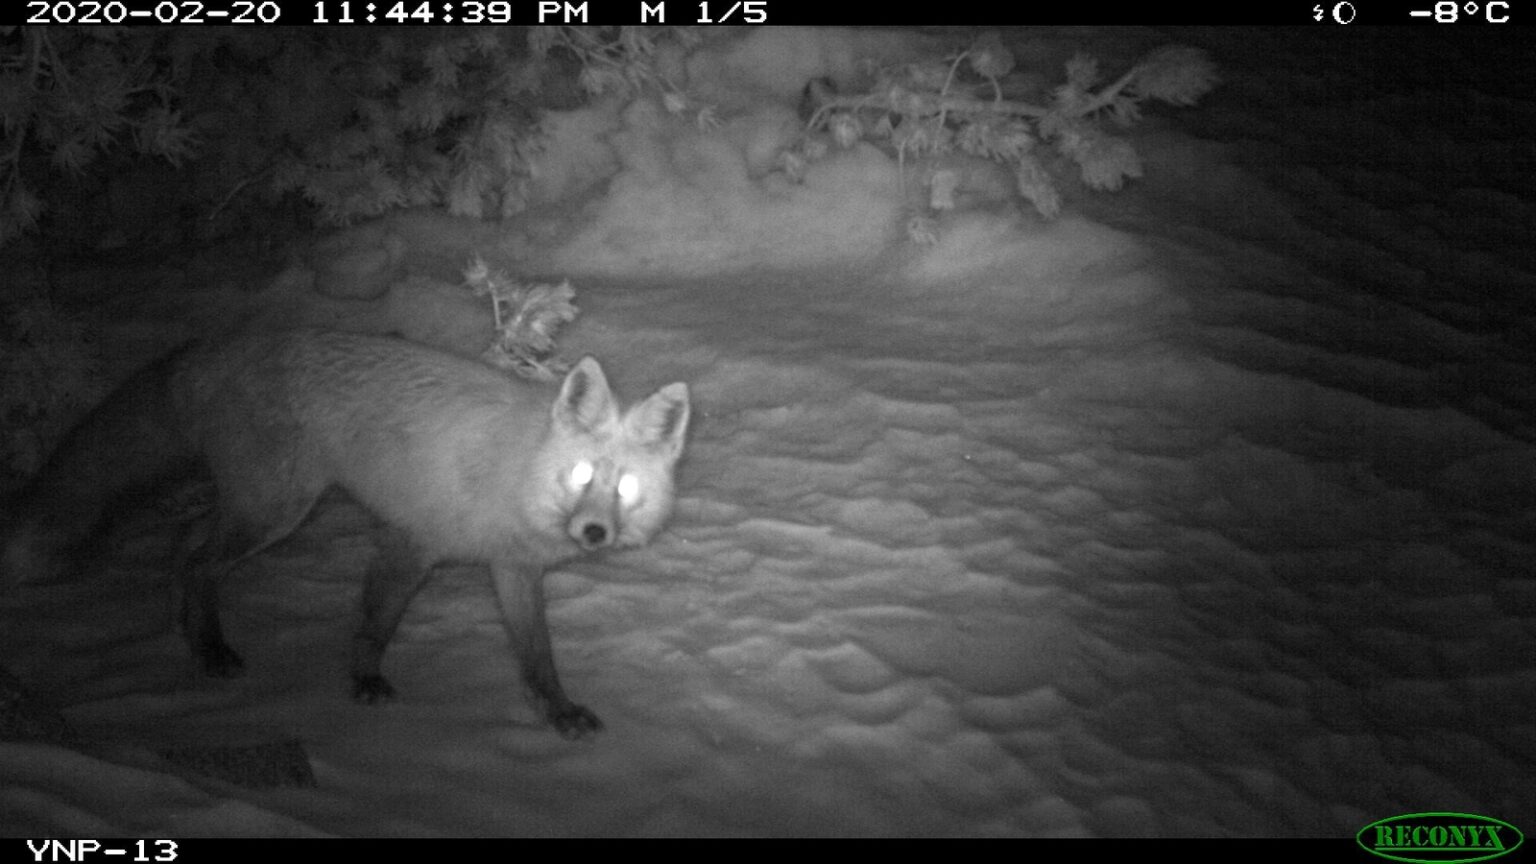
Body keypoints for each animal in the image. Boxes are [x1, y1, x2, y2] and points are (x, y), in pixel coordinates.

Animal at [1, 328, 691, 738]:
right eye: (581, 475)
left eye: (625, 488)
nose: (594, 532)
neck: (517, 473)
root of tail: (220, 344)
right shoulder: (410, 543)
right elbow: (375, 624)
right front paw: (363, 684)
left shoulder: (511, 569)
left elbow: (537, 656)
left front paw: (558, 713)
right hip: (276, 509)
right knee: (197, 558)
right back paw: (211, 649)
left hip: (257, 506)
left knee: (185, 542)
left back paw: (194, 639)